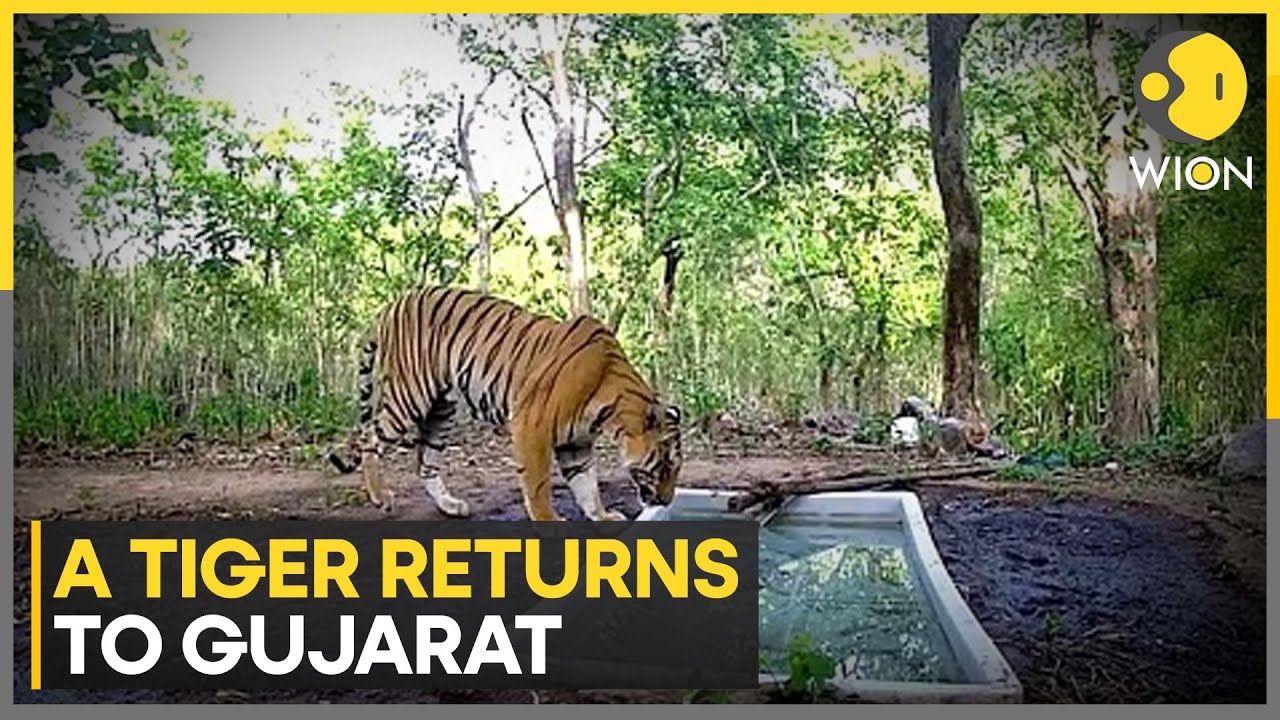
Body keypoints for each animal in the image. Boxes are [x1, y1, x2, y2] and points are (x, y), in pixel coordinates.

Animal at [327, 286, 683, 521]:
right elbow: (538, 485)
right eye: (665, 466)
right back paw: (379, 497)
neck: (611, 412)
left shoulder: (576, 443)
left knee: (425, 459)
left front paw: (603, 516)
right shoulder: (532, 426)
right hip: (409, 396)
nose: (666, 502)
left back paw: (450, 505)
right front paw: (550, 521)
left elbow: (587, 484)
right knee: (369, 438)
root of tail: (391, 304)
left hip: (442, 409)